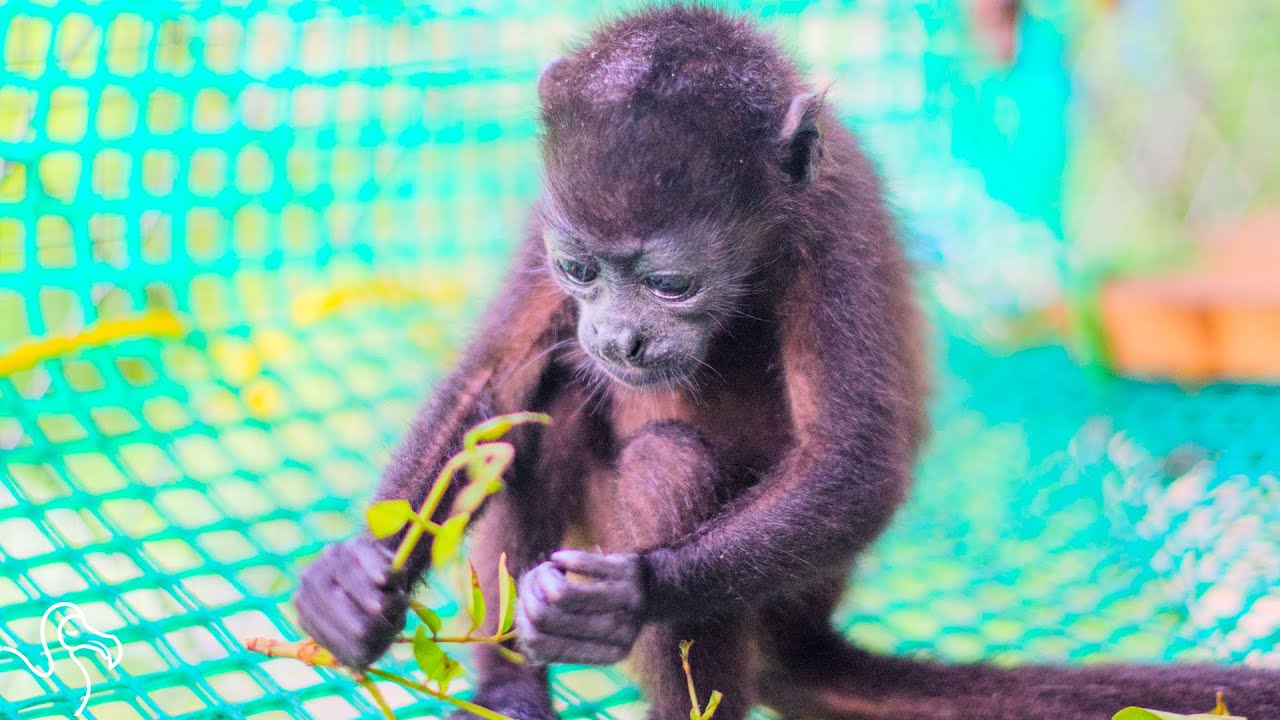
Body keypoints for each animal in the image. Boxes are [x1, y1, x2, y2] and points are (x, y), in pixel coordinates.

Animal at [293, 6, 1280, 720]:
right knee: (548, 400)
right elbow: (493, 376)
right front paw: (354, 578)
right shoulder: (549, 218)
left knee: (665, 463)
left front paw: (636, 591)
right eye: (580, 270)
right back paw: (506, 689)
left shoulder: (831, 234)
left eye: (671, 284)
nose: (618, 339)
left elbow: (856, 462)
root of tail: (809, 630)